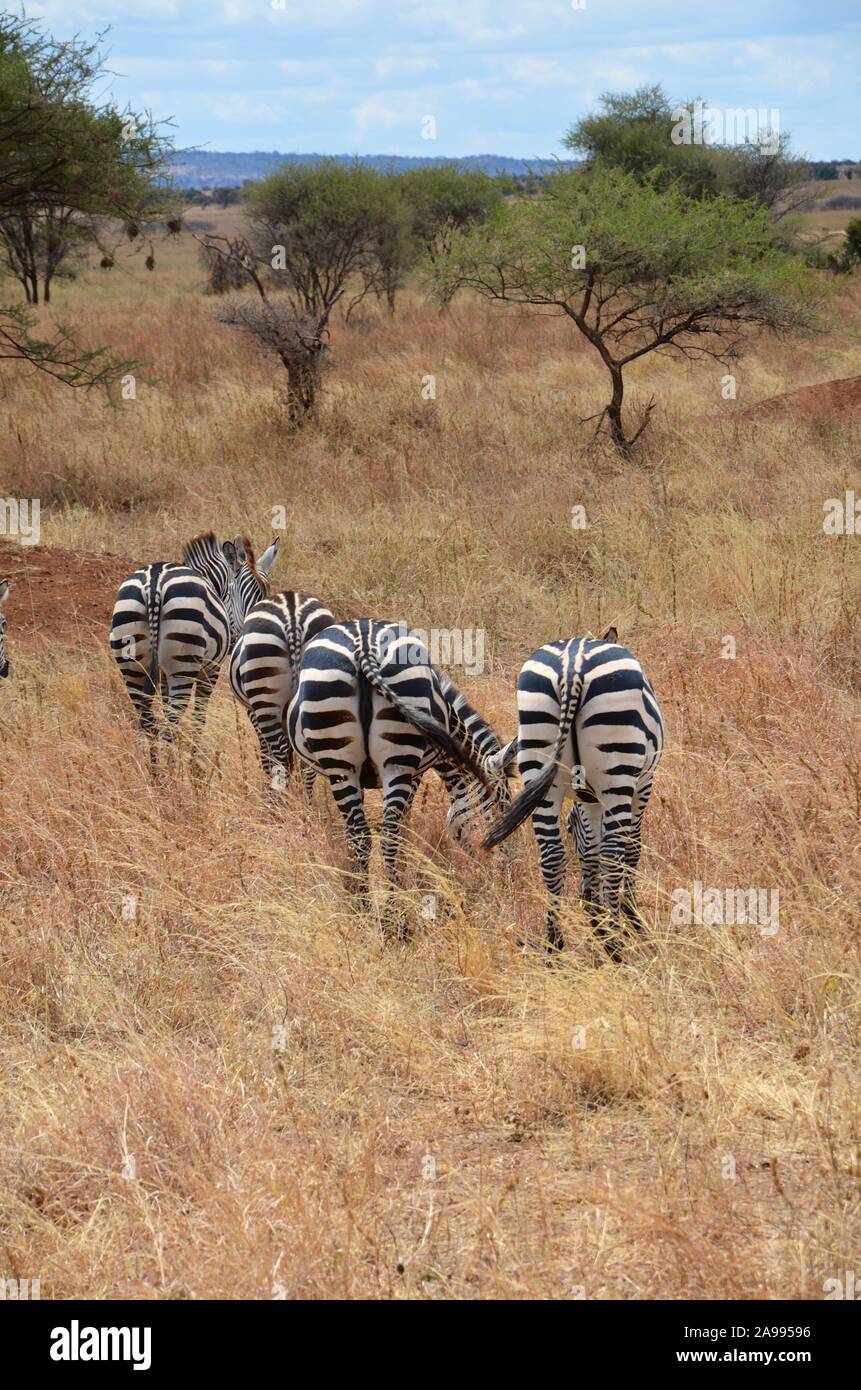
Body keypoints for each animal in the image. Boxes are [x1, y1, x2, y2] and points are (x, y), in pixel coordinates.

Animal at [109, 532, 279, 762]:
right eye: (252, 598)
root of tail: (155, 582)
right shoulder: (211, 670)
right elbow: (199, 717)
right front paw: (195, 764)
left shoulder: (165, 676)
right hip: (184, 666)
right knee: (170, 724)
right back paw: (173, 771)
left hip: (131, 663)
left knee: (148, 721)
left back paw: (157, 771)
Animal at [229, 590, 336, 791]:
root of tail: (293, 617)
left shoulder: (252, 712)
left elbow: (266, 755)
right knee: (307, 763)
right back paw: (303, 799)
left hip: (265, 698)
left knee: (281, 755)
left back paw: (277, 797)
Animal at [287, 619, 508, 929]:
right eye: (501, 806)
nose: (508, 872)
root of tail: (365, 647)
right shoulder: (415, 773)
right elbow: (401, 827)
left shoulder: (403, 774)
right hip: (390, 760)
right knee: (379, 835)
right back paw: (390, 915)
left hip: (356, 761)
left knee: (370, 836)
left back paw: (376, 912)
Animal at [483, 629, 664, 956]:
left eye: (570, 826)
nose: (585, 901)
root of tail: (572, 666)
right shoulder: (643, 783)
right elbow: (631, 848)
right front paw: (629, 921)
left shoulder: (588, 799)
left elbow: (589, 852)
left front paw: (597, 918)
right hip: (617, 767)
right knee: (613, 853)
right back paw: (616, 948)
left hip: (539, 760)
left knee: (552, 855)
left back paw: (555, 948)